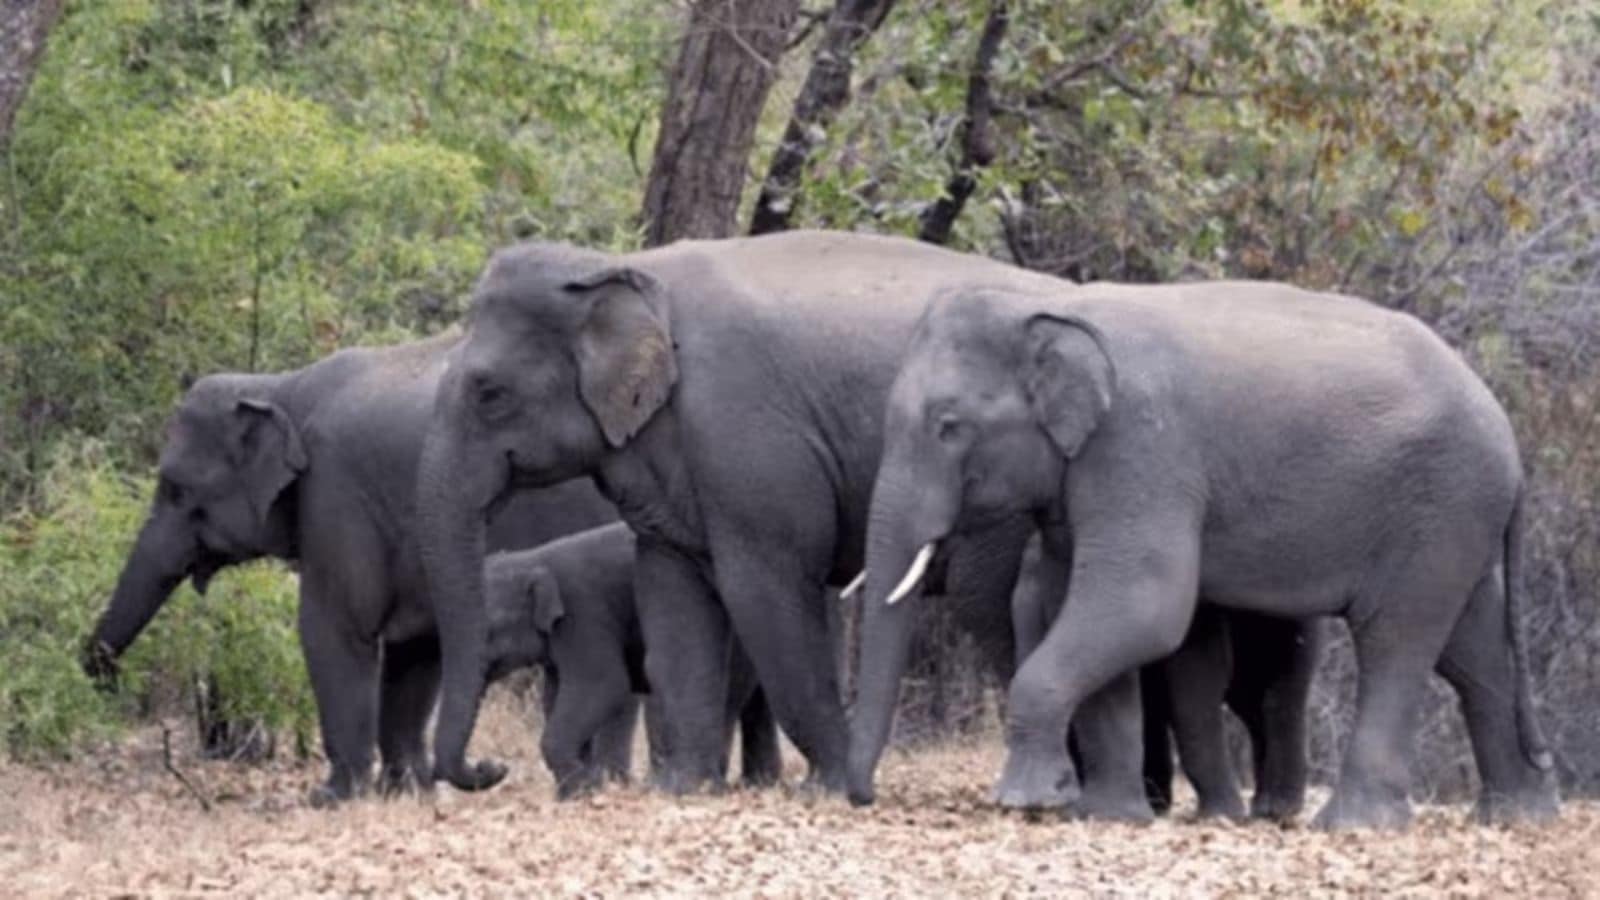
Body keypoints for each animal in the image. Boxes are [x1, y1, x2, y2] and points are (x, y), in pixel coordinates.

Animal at [80, 332, 626, 806]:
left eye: (175, 489)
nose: (108, 679)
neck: (279, 387)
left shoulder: (335, 493)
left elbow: (334, 628)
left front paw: (331, 798)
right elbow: (415, 650)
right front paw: (404, 792)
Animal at [483, 522, 781, 797]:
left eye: (490, 630)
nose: (499, 768)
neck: (533, 558)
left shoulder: (584, 616)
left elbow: (603, 685)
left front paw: (587, 790)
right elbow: (555, 694)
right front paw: (582, 789)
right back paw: (758, 784)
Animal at [847, 282, 1560, 829]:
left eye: (948, 427)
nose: (863, 798)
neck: (1050, 307)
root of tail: (1506, 429)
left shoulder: (1141, 449)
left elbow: (1140, 606)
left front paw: (1028, 803)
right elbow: (1080, 604)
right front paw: (1107, 816)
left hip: (1438, 505)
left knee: (1397, 639)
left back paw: (1355, 824)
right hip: (1459, 516)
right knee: (1472, 651)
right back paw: (1516, 816)